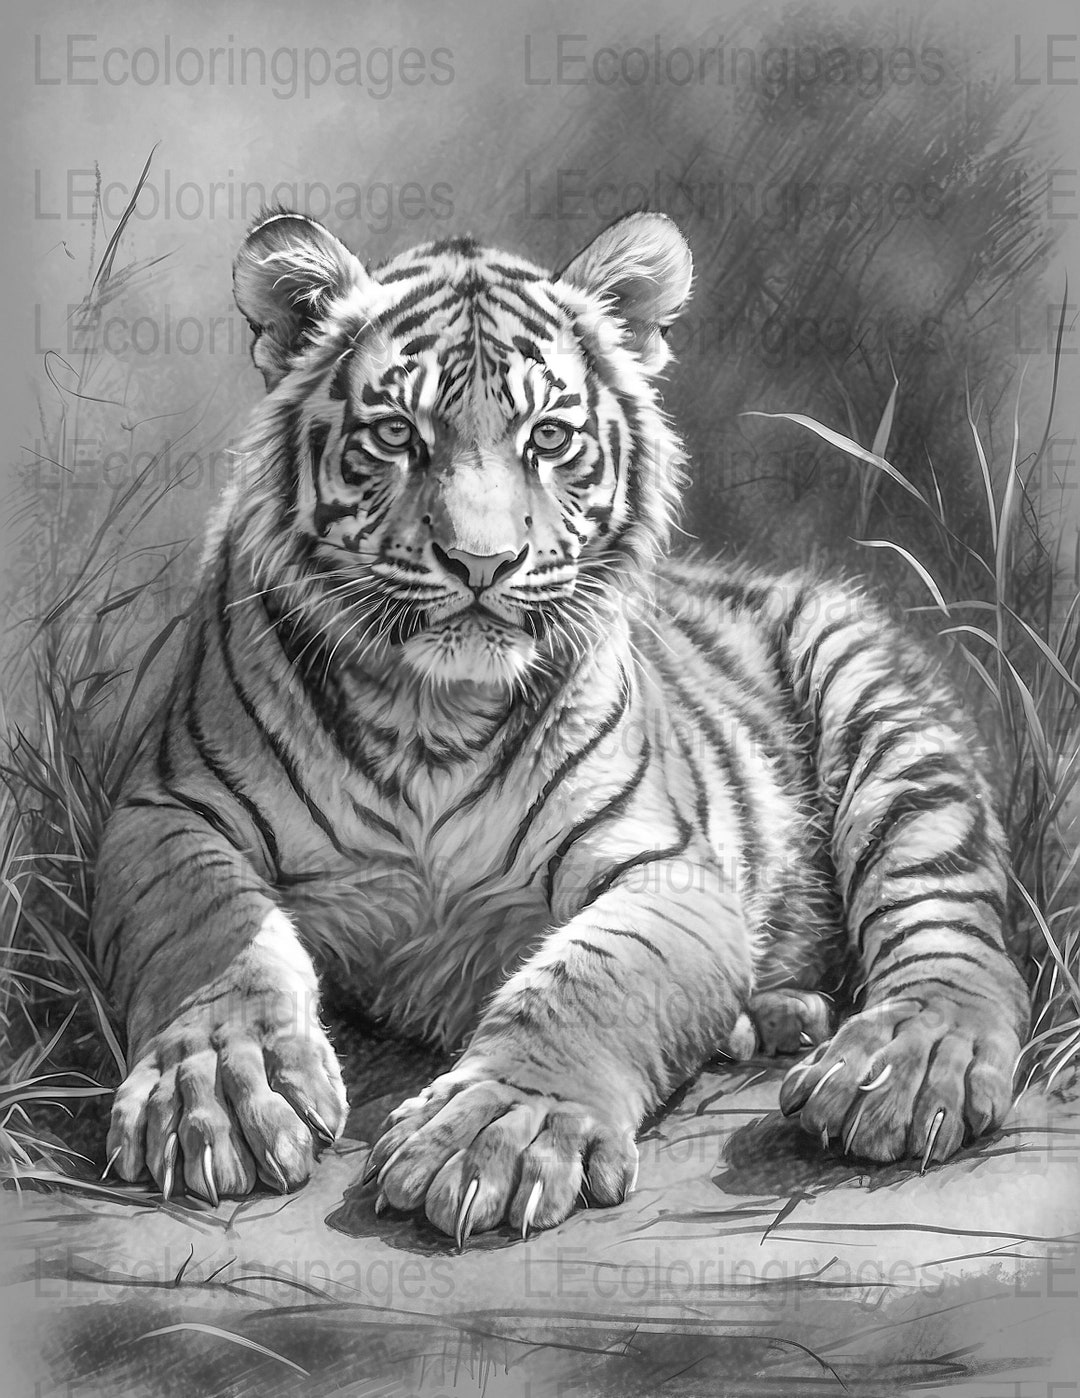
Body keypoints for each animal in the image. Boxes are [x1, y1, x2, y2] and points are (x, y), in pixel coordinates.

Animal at [90, 207, 1031, 1245]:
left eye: (547, 436)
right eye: (396, 433)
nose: (481, 562)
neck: (432, 711)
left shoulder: (669, 865)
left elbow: (589, 981)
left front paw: (499, 1130)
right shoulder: (168, 812)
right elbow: (212, 931)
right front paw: (217, 1088)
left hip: (885, 727)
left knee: (959, 938)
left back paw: (900, 1070)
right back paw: (776, 1019)